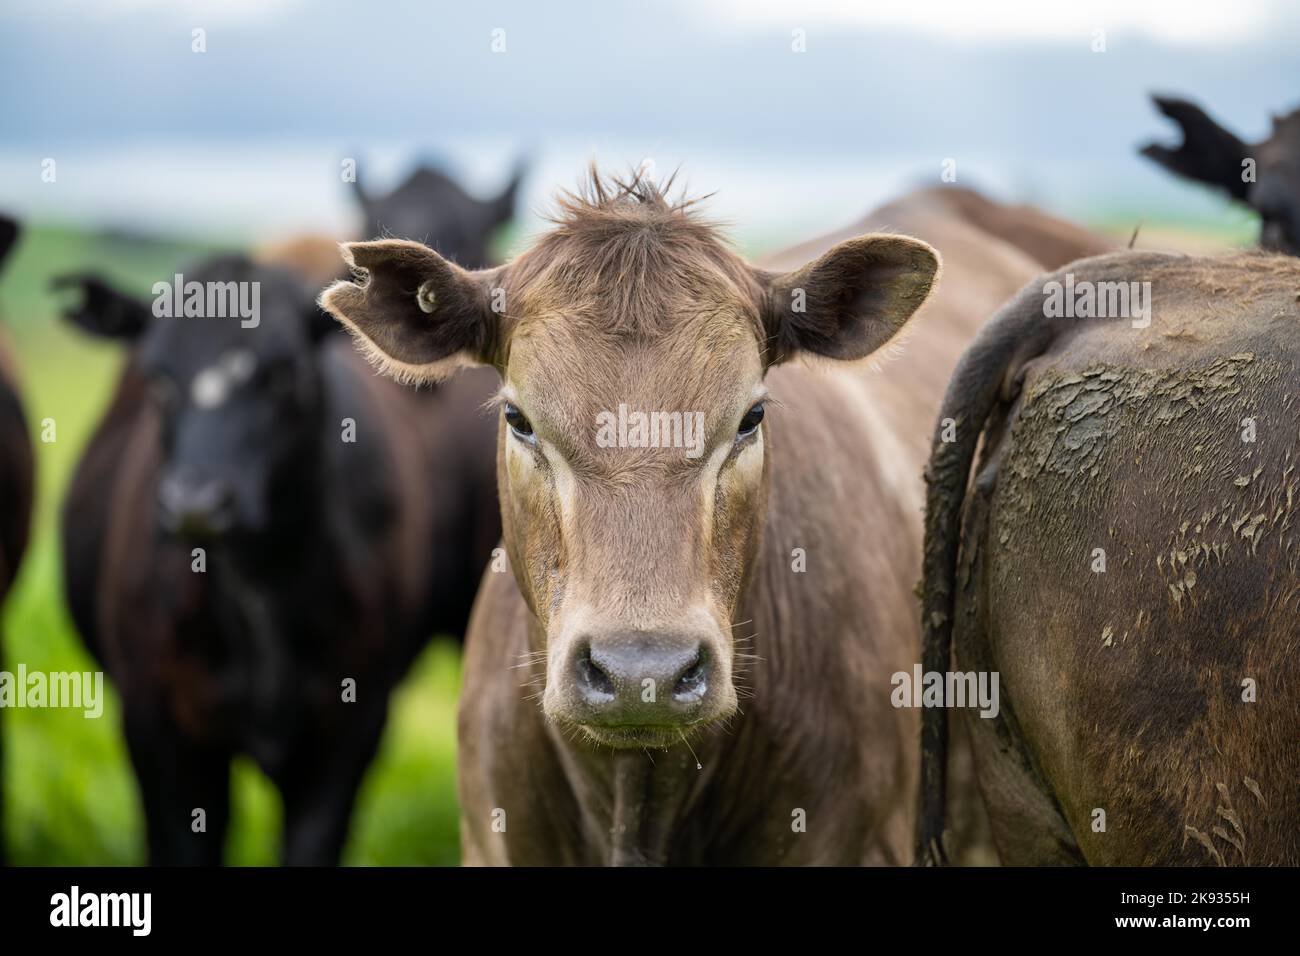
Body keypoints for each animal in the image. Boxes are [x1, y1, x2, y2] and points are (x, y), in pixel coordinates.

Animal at [55, 255, 500, 864]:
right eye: (158, 379)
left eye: (282, 373)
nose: (196, 503)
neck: (257, 590)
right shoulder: (158, 728)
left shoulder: (349, 729)